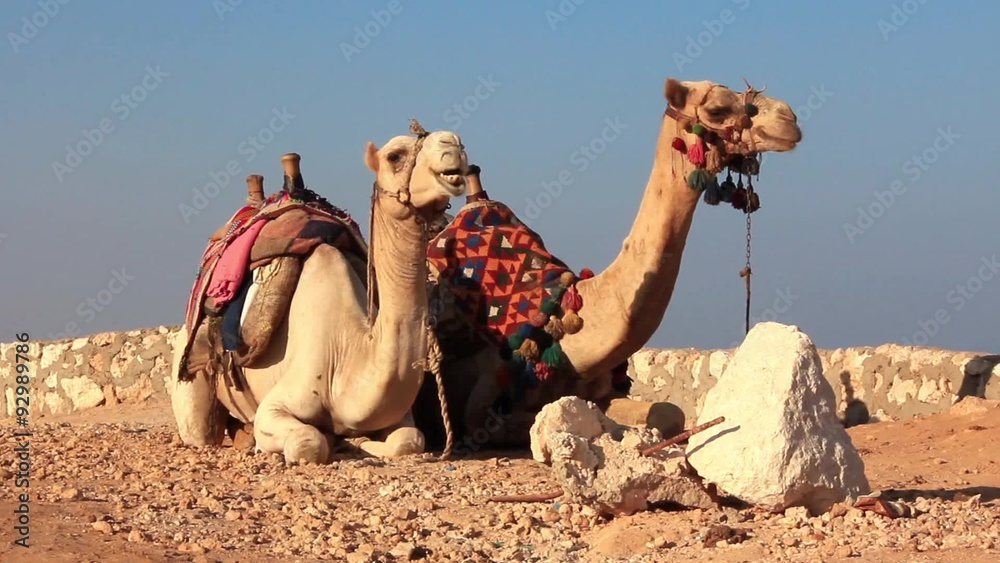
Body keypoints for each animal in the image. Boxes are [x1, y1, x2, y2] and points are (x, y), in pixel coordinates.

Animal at [171, 125, 469, 463]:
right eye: (395, 156)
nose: (453, 144)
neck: (345, 354)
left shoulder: (397, 415)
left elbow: (409, 440)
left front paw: (356, 440)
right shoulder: (276, 404)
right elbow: (308, 442)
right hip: (189, 376)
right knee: (201, 431)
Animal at [419, 77, 803, 449]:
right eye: (718, 108)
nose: (789, 119)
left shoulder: (602, 389)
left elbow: (669, 413)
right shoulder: (483, 404)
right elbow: (530, 423)